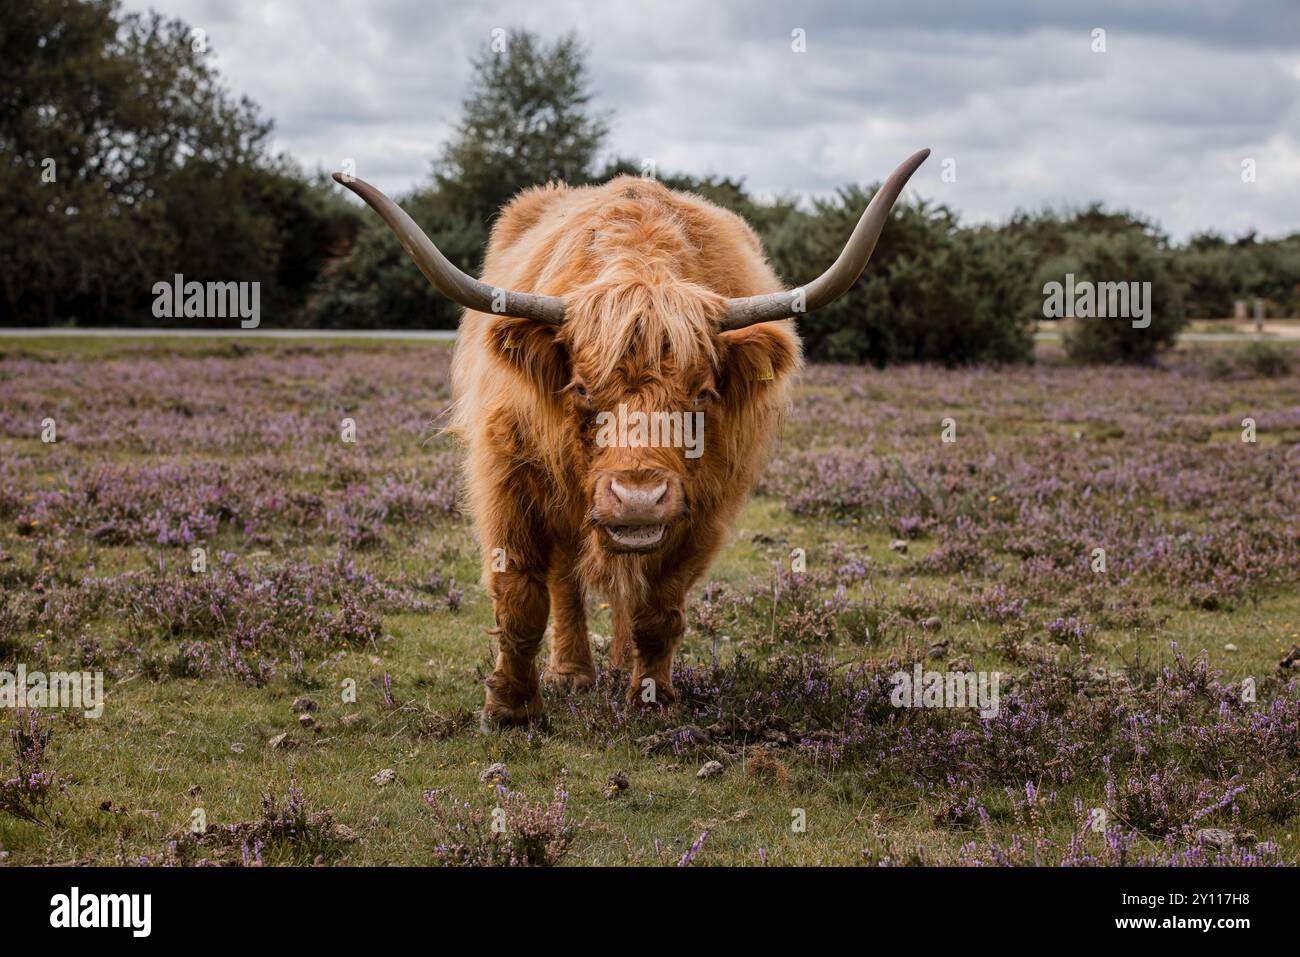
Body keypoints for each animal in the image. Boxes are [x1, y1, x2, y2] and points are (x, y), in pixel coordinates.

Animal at [333, 148, 928, 725]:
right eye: (580, 388)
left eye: (702, 394)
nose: (638, 499)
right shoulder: (505, 477)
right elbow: (521, 594)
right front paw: (510, 709)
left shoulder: (704, 510)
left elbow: (658, 609)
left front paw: (652, 700)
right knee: (563, 580)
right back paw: (572, 672)